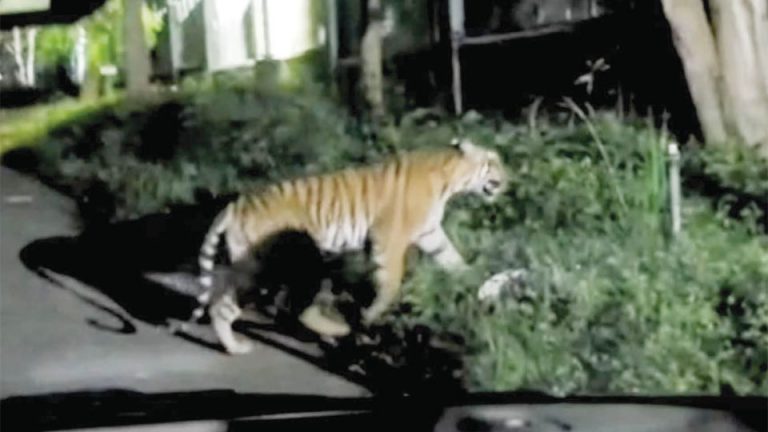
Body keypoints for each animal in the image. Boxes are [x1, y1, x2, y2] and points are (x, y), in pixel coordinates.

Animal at [190, 138, 508, 354]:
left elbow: (454, 259)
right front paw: (371, 315)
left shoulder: (431, 234)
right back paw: (238, 346)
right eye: (492, 162)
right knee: (230, 306)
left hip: (262, 261)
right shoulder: (387, 239)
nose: (508, 178)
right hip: (271, 264)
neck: (449, 179)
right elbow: (391, 281)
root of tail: (236, 204)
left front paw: (476, 284)